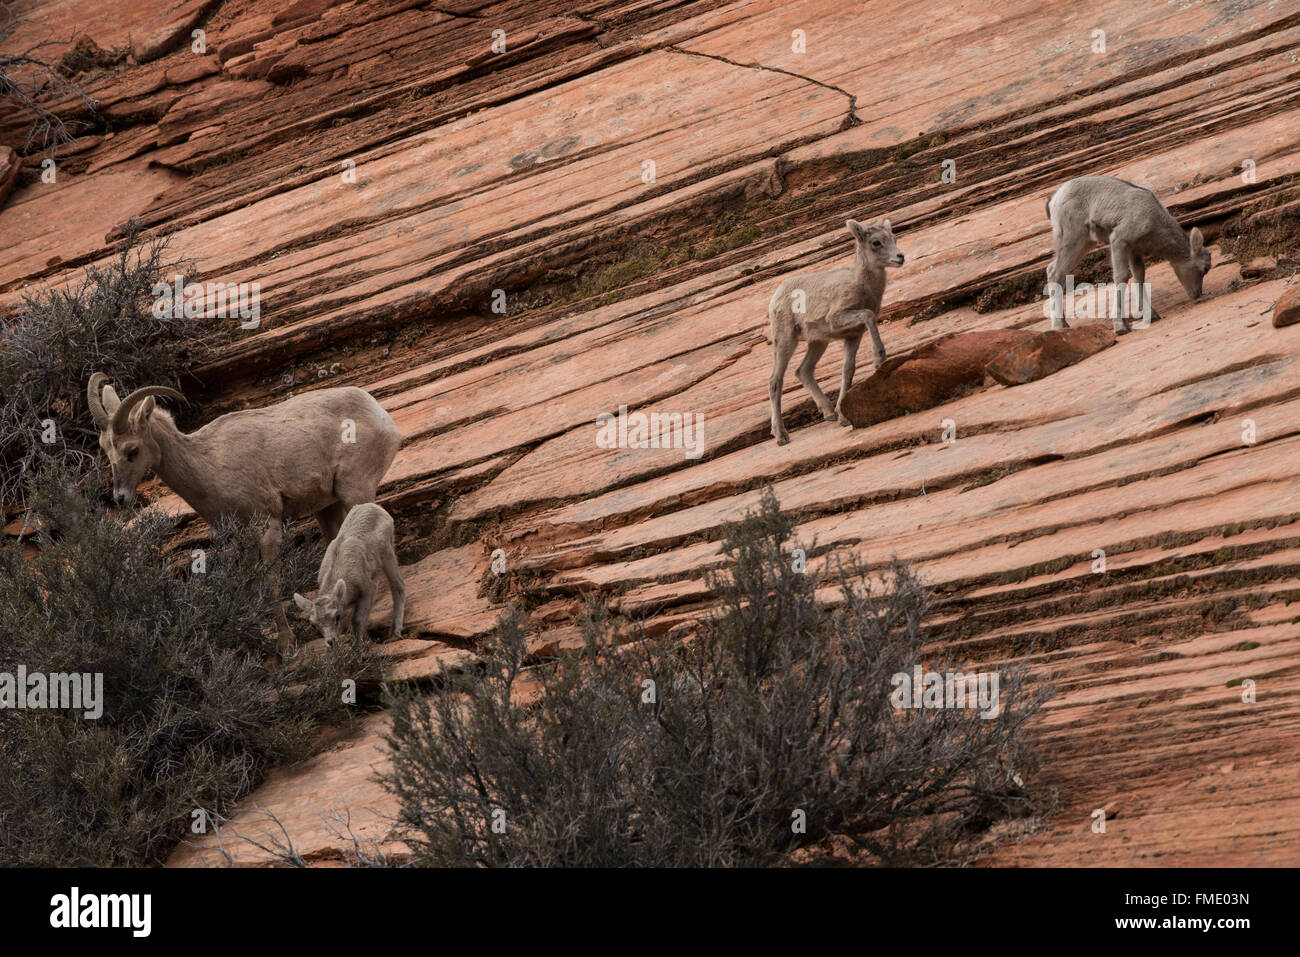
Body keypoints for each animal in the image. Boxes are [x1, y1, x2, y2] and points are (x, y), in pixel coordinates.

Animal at [293, 503, 405, 646]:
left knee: (398, 585)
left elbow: (357, 619)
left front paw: (359, 646)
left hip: (387, 553)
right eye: (313, 624)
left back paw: (396, 632)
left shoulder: (368, 589)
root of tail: (375, 507)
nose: (331, 642)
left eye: (337, 616)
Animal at [767, 218, 904, 445]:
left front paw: (843, 417)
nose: (900, 257)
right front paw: (879, 359)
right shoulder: (838, 319)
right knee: (775, 380)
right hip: (786, 339)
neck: (862, 287)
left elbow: (848, 370)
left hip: (818, 342)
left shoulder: (853, 336)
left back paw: (829, 413)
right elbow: (868, 315)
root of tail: (775, 295)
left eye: (893, 237)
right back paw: (781, 436)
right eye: (876, 242)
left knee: (803, 370)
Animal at [1045, 175, 1211, 333]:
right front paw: (1120, 326)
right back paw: (1059, 325)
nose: (1197, 294)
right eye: (1203, 269)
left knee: (1051, 269)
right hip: (1072, 238)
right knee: (1056, 273)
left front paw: (1151, 315)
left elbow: (1139, 277)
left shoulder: (1134, 250)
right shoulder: (1119, 240)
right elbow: (1122, 276)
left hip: (1085, 242)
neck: (1154, 222)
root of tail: (1054, 199)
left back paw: (1064, 324)